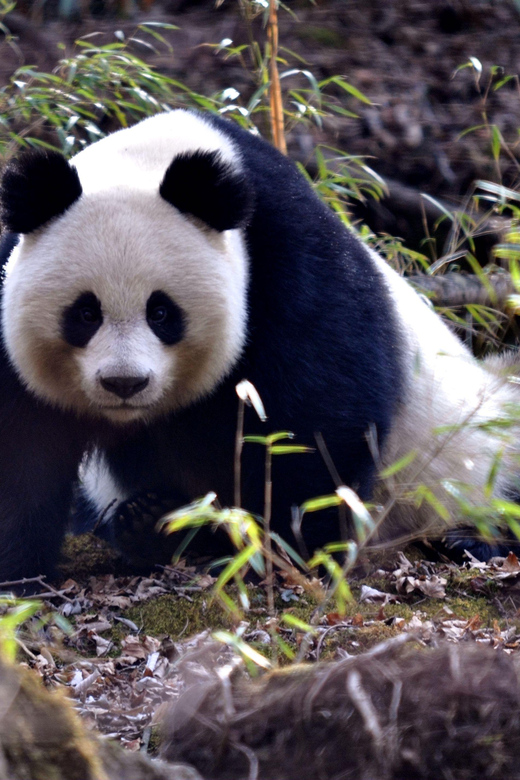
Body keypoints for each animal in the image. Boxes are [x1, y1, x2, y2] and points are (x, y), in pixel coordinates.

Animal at [0, 108, 519, 583]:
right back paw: (152, 522)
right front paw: (21, 573)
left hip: (471, 456)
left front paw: (287, 550)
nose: (124, 383)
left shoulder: (288, 262)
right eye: (86, 313)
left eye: (162, 313)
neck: (154, 159)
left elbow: (320, 415)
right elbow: (24, 442)